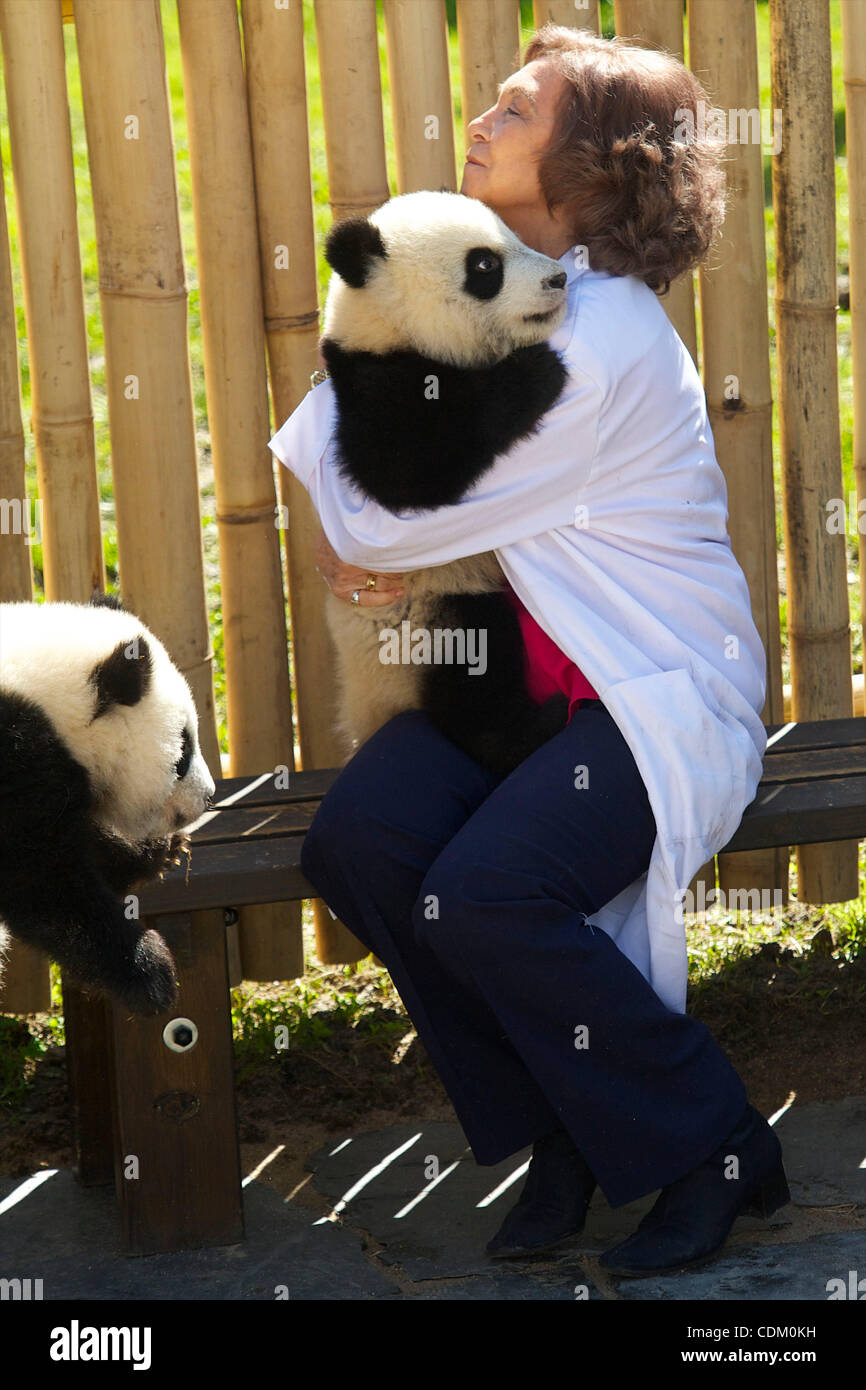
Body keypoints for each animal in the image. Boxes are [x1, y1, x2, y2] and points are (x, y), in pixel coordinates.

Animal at [0, 594, 215, 1015]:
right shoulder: (13, 765)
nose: (209, 796)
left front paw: (157, 851)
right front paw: (151, 974)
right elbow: (43, 883)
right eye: (183, 751)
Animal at [317, 189, 574, 776]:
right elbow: (405, 475)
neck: (390, 329)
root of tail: (370, 719)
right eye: (484, 266)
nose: (558, 278)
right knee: (474, 675)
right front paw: (536, 371)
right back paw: (530, 729)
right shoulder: (373, 387)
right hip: (428, 622)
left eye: (516, 235)